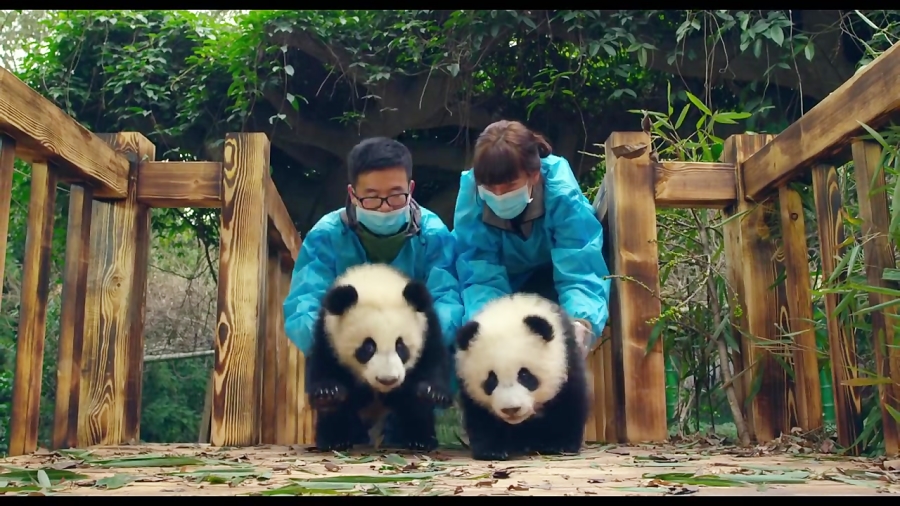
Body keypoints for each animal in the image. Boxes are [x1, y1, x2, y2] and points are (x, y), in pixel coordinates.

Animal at [306, 263, 453, 452]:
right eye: (368, 347)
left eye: (400, 346)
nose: (388, 380)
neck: (376, 280)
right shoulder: (327, 336)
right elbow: (323, 367)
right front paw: (328, 392)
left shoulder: (427, 328)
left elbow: (433, 363)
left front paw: (432, 392)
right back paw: (335, 440)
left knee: (416, 409)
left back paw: (421, 439)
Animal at [454, 293, 590, 461]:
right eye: (491, 380)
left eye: (524, 375)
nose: (511, 409)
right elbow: (480, 416)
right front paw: (491, 451)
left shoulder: (567, 359)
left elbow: (569, 403)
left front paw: (560, 445)